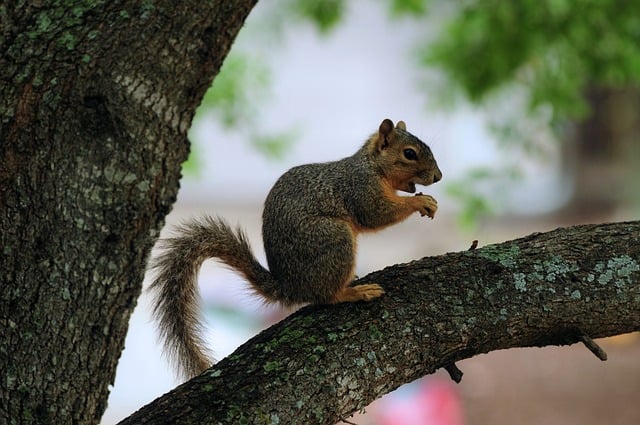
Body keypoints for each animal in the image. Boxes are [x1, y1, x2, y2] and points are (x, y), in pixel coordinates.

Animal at [149, 118, 442, 380]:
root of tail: (291, 286)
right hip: (334, 238)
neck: (372, 167)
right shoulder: (360, 188)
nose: (438, 177)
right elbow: (376, 214)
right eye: (409, 153)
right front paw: (421, 203)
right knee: (326, 296)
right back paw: (355, 292)